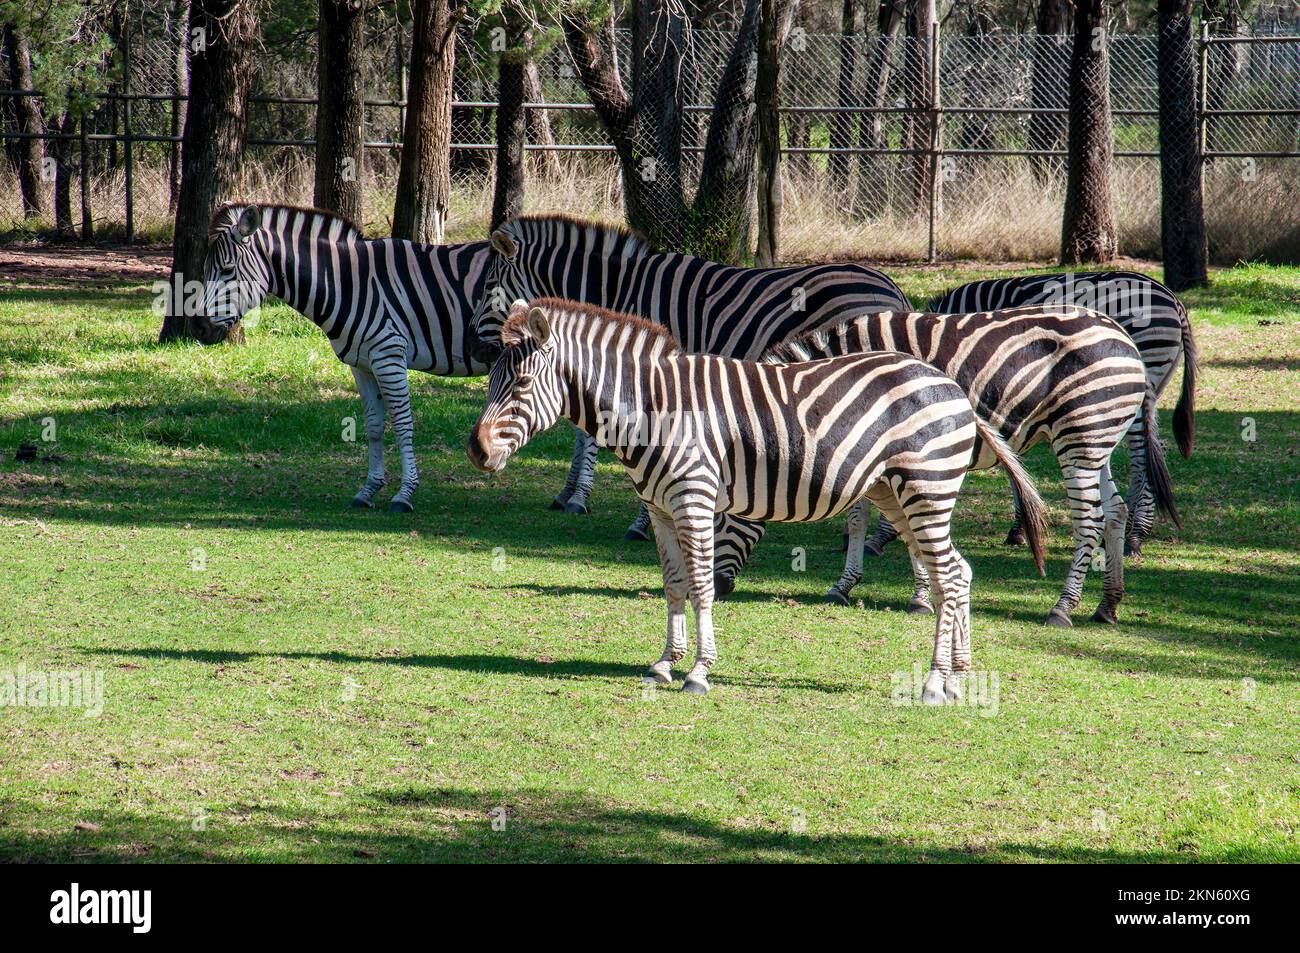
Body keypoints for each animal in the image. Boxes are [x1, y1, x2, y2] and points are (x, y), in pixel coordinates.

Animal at [201, 202, 492, 511]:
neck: (349, 283)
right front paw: (368, 490)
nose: (199, 327)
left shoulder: (389, 355)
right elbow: (374, 426)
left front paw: (405, 494)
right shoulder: (362, 364)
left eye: (228, 270)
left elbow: (402, 424)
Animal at [466, 214, 911, 537]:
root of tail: (892, 287)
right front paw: (572, 495)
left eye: (488, 285)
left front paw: (617, 513)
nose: (475, 347)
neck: (620, 290)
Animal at [467, 300, 1047, 702]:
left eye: (521, 383)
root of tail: (951, 385)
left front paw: (699, 672)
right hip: (896, 493)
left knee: (949, 574)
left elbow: (701, 585)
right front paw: (665, 663)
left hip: (926, 487)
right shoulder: (659, 508)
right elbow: (673, 585)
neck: (652, 407)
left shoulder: (694, 498)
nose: (476, 450)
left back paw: (932, 682)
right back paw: (957, 679)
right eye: (491, 378)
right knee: (959, 574)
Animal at [714, 305, 1179, 628]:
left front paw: (918, 597)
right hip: (1097, 443)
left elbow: (888, 522)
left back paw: (1062, 607)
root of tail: (1123, 335)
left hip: (1080, 436)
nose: (718, 589)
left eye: (719, 515)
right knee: (1115, 511)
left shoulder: (891, 451)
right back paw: (1107, 605)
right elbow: (863, 516)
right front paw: (847, 585)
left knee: (1090, 519)